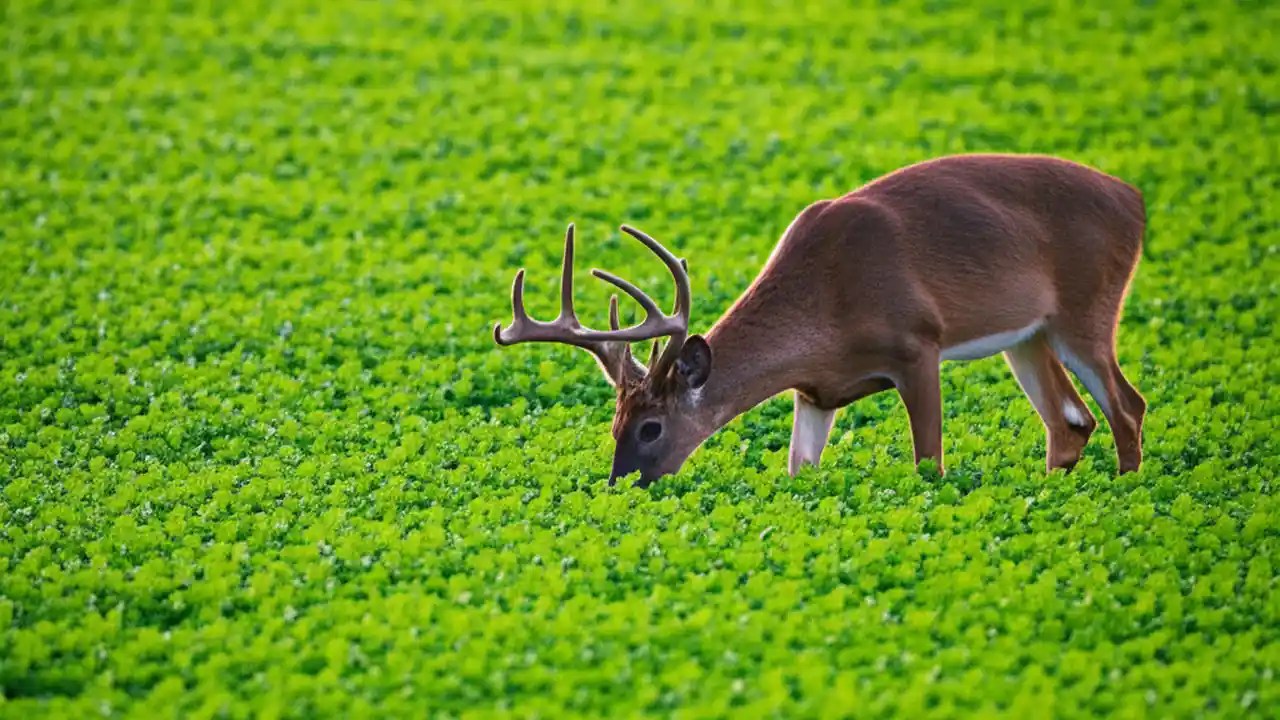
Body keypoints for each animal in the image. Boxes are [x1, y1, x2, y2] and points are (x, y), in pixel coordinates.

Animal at [494, 154, 1148, 488]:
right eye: (614, 425)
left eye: (651, 428)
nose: (620, 484)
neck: (829, 306)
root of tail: (1136, 200)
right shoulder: (815, 393)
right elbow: (797, 472)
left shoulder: (918, 342)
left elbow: (928, 462)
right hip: (1030, 334)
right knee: (1071, 421)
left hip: (1087, 309)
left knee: (1126, 406)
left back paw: (1125, 487)